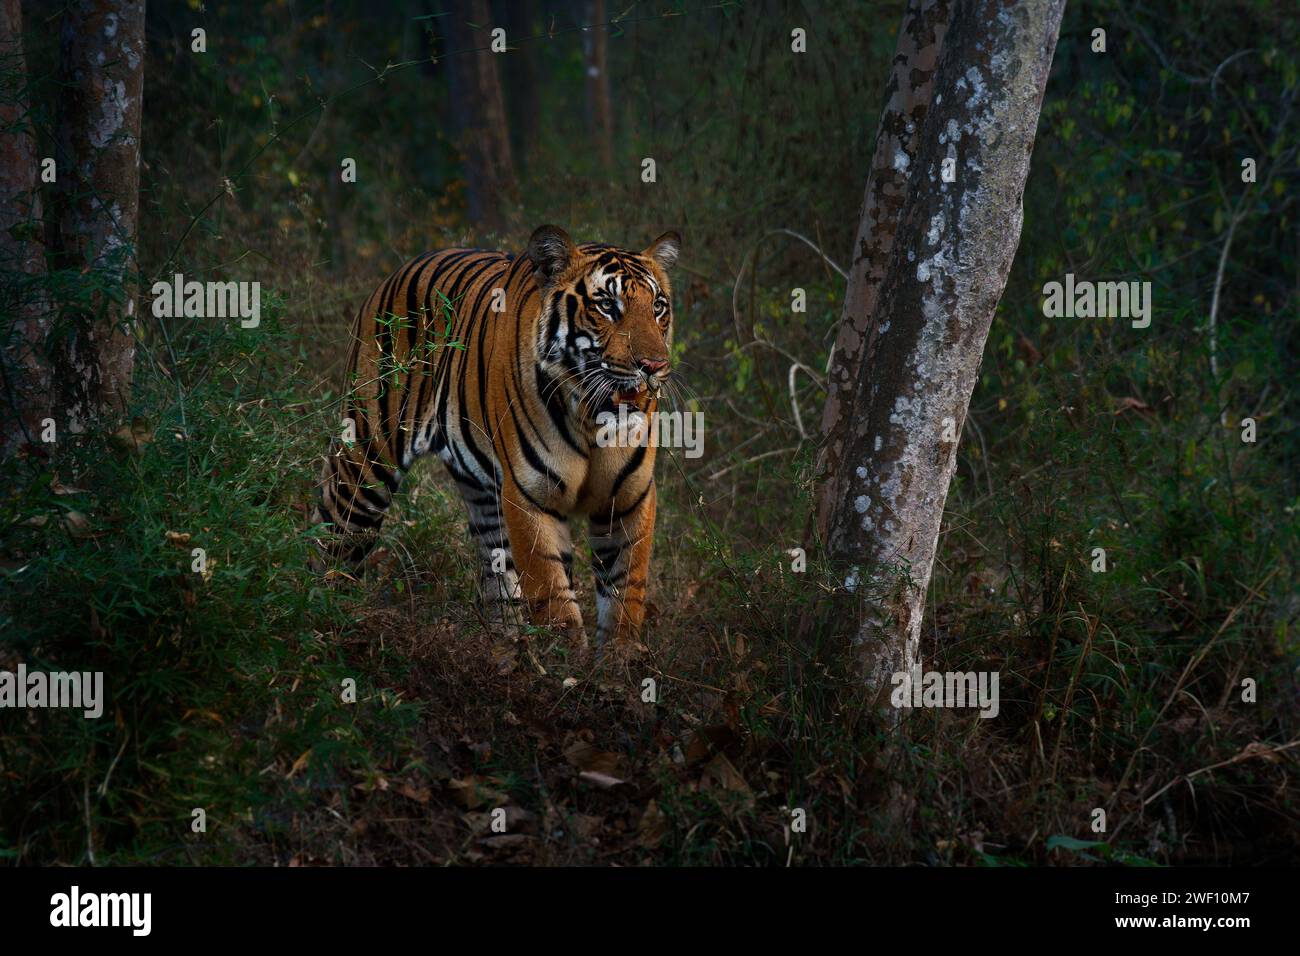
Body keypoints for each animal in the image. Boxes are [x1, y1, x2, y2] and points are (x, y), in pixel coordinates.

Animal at [311, 224, 682, 654]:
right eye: (606, 305)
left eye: (658, 307)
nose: (654, 366)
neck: (593, 416)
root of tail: (397, 271)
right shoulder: (530, 496)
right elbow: (553, 597)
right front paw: (567, 665)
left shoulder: (628, 498)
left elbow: (625, 596)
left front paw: (616, 665)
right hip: (365, 466)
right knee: (330, 538)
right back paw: (316, 617)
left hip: (482, 495)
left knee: (497, 578)